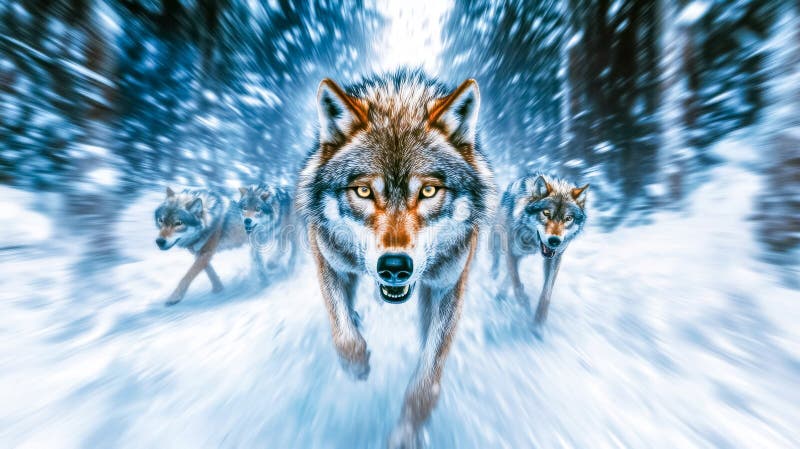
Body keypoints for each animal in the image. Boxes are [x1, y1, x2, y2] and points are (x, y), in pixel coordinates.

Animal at [296, 70, 495, 448]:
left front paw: (405, 434)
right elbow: (343, 334)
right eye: (363, 191)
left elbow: (426, 380)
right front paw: (357, 365)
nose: (394, 267)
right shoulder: (327, 254)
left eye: (429, 191)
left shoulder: (448, 285)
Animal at [491, 174, 588, 325]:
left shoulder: (555, 258)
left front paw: (539, 319)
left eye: (568, 218)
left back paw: (502, 291)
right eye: (546, 213)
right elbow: (516, 281)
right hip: (497, 240)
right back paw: (494, 275)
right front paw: (524, 302)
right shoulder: (511, 252)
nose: (554, 241)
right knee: (495, 257)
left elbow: (546, 291)